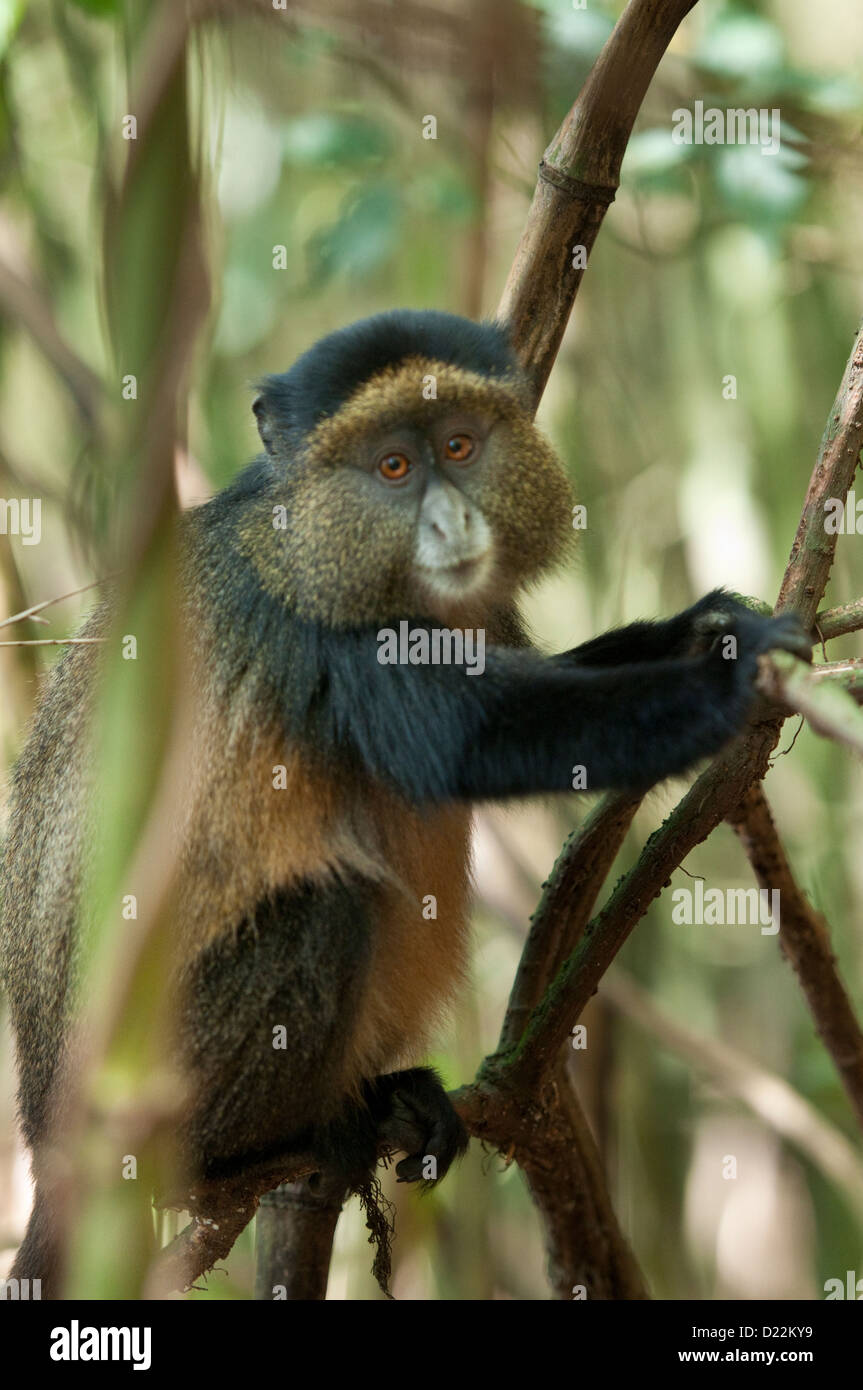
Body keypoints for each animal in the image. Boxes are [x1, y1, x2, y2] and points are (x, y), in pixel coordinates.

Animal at [0, 308, 812, 1297]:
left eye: (458, 446)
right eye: (392, 466)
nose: (450, 517)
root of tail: (53, 1150)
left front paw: (704, 626)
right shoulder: (326, 639)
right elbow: (479, 741)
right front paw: (729, 678)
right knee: (329, 908)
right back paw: (253, 1152)